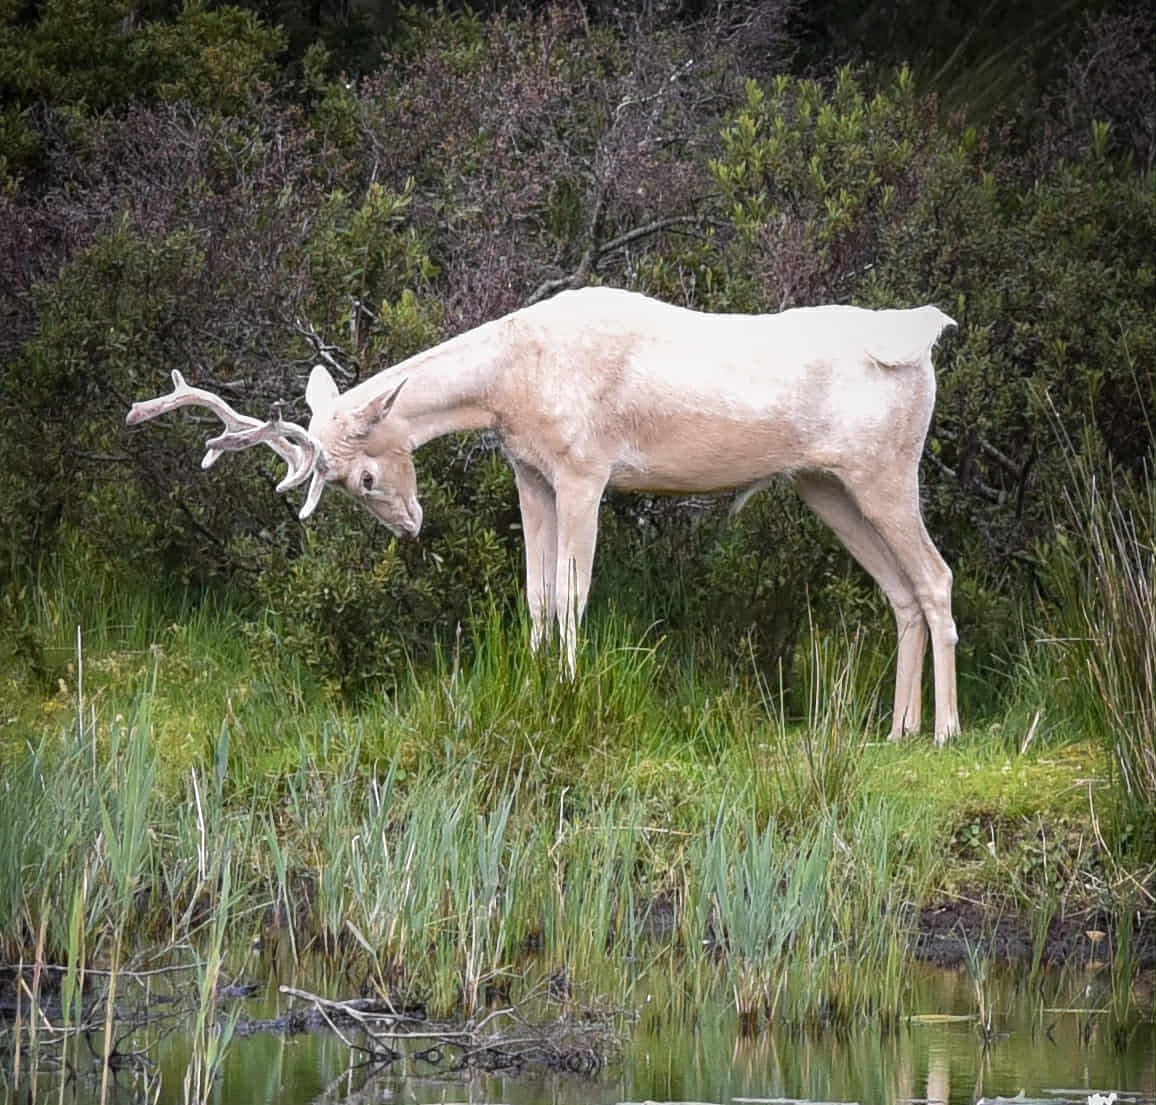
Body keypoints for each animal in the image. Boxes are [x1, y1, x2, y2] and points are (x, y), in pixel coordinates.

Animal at [126, 285, 961, 743]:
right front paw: (532, 681)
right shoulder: (529, 471)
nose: (410, 524)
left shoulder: (587, 468)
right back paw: (898, 728)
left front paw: (568, 688)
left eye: (362, 474)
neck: (511, 387)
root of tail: (926, 342)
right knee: (900, 591)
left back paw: (945, 730)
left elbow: (574, 592)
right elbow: (535, 593)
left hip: (887, 467)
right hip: (826, 482)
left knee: (938, 576)